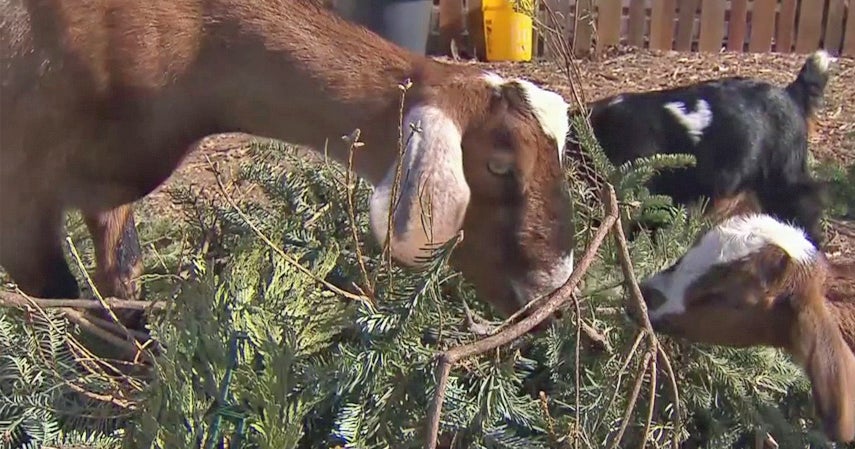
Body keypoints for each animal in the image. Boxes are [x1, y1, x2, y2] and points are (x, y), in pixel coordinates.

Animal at [0, 0, 575, 321]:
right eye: (500, 165)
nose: (553, 288)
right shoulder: (21, 195)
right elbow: (64, 303)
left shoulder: (108, 188)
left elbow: (122, 287)